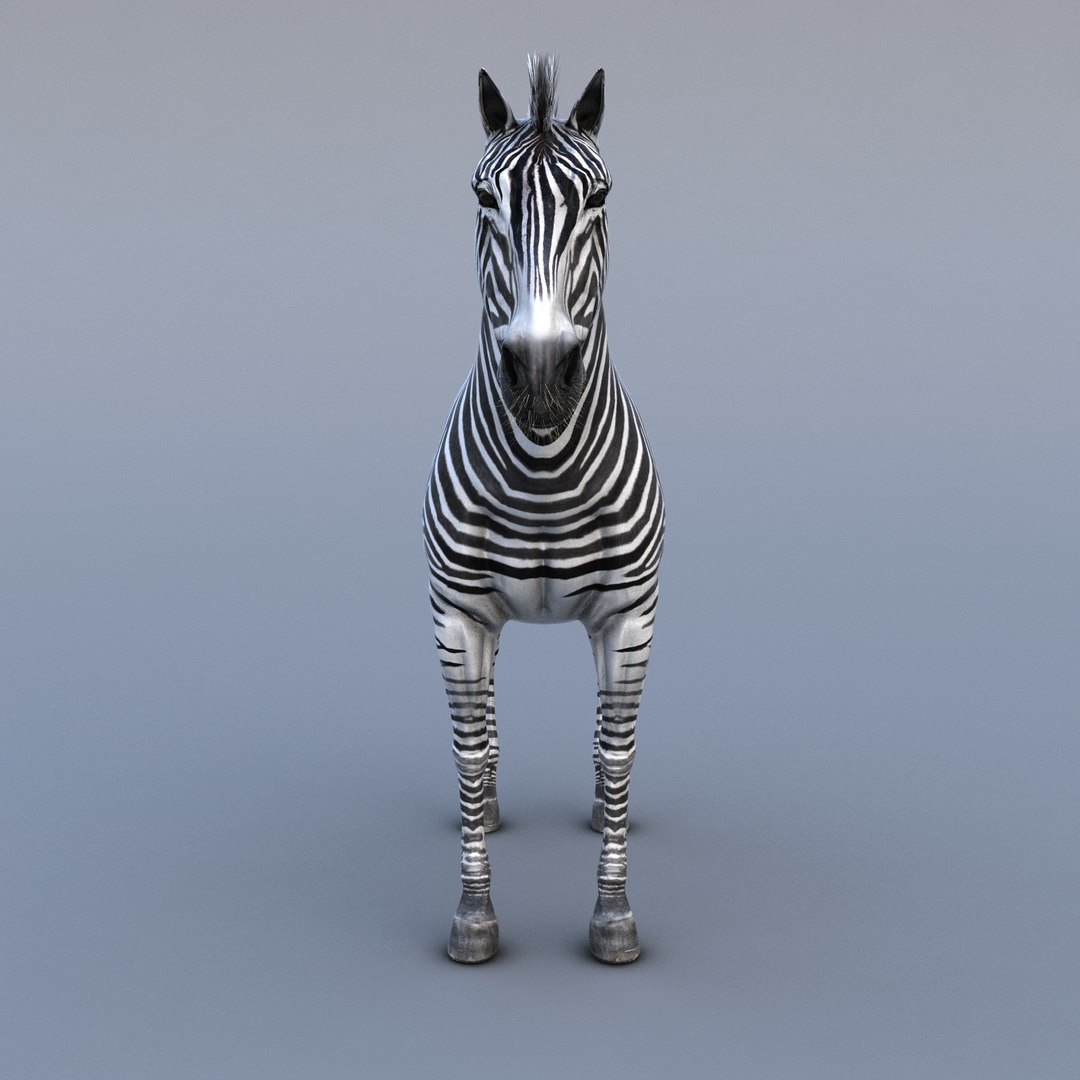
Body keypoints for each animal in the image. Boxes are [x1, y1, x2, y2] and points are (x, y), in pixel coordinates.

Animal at [423, 56, 665, 964]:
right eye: (481, 198)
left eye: (599, 199)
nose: (539, 375)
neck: (544, 476)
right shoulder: (457, 619)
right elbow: (467, 753)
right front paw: (473, 919)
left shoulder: (630, 620)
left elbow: (618, 754)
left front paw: (614, 920)